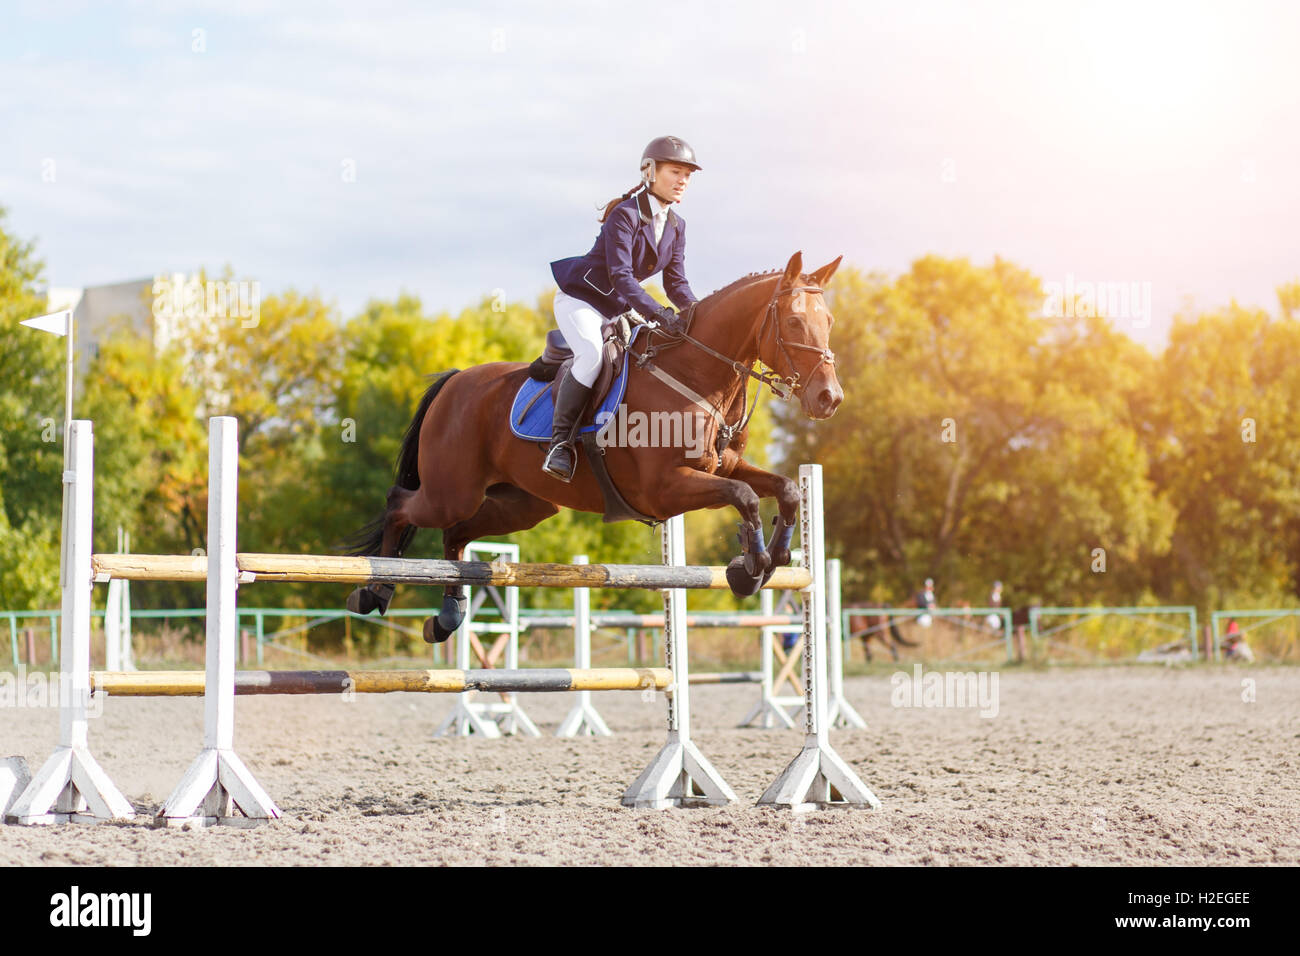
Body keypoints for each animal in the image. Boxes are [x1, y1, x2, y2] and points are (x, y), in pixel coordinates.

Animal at [344, 251, 845, 644]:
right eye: (795, 321)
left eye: (829, 322)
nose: (829, 398)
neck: (695, 376)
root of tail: (455, 380)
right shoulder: (663, 490)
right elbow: (745, 497)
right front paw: (750, 566)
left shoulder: (723, 466)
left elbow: (785, 489)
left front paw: (774, 558)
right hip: (452, 491)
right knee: (401, 505)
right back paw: (373, 591)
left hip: (524, 505)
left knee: (456, 535)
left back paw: (447, 616)